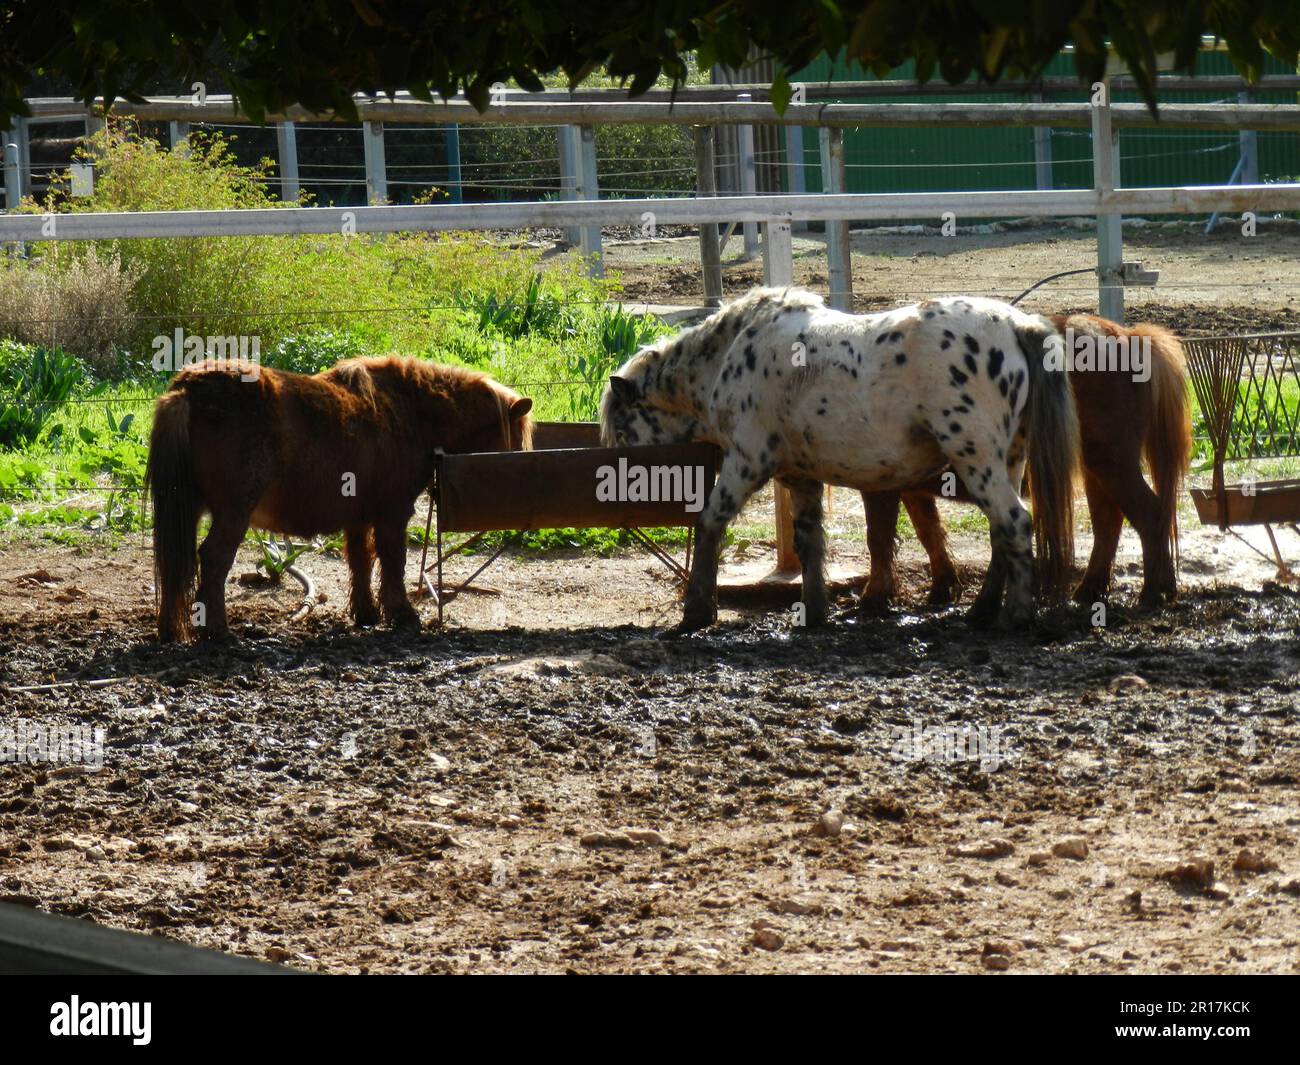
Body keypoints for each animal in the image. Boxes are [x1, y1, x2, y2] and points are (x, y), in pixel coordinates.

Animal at [146, 356, 534, 642]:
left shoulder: (359, 517)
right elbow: (393, 562)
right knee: (213, 559)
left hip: (190, 510)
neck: (409, 412)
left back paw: (173, 628)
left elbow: (361, 561)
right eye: (513, 443)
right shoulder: (392, 514)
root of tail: (187, 391)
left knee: (176, 562)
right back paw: (218, 631)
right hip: (233, 513)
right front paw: (402, 614)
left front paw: (366, 614)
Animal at [600, 287, 1079, 635]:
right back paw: (981, 611)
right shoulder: (801, 479)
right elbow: (809, 542)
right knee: (1003, 533)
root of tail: (1017, 325)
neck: (729, 358)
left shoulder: (746, 464)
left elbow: (709, 524)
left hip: (977, 461)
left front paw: (696, 612)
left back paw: (1015, 617)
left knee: (1015, 524)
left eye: (621, 428)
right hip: (1007, 462)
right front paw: (813, 614)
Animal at [860, 313, 1191, 610]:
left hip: (1112, 464)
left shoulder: (879, 485)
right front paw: (943, 586)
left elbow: (878, 537)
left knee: (1149, 515)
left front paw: (874, 595)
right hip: (1098, 471)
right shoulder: (912, 489)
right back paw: (1093, 590)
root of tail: (1128, 336)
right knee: (1109, 523)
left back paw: (1152, 592)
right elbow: (928, 531)